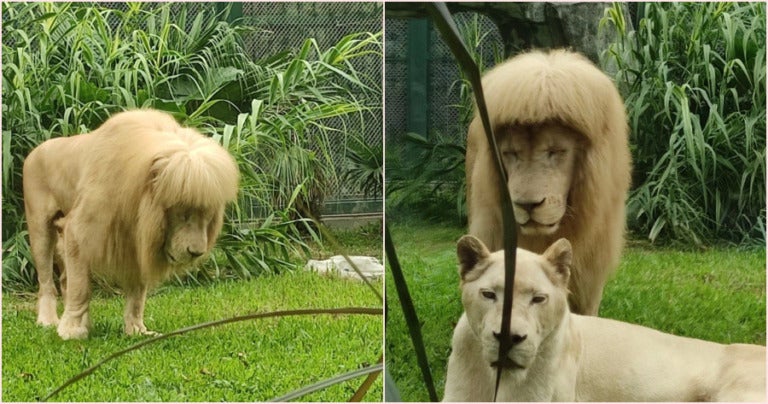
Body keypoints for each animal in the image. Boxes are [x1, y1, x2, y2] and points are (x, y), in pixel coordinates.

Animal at [23, 109, 239, 340]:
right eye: (183, 213)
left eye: (207, 216)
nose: (196, 253)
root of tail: (34, 151)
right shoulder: (78, 230)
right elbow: (80, 287)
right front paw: (72, 331)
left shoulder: (137, 241)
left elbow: (137, 295)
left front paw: (136, 330)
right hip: (40, 230)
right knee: (47, 281)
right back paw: (48, 321)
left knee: (64, 279)